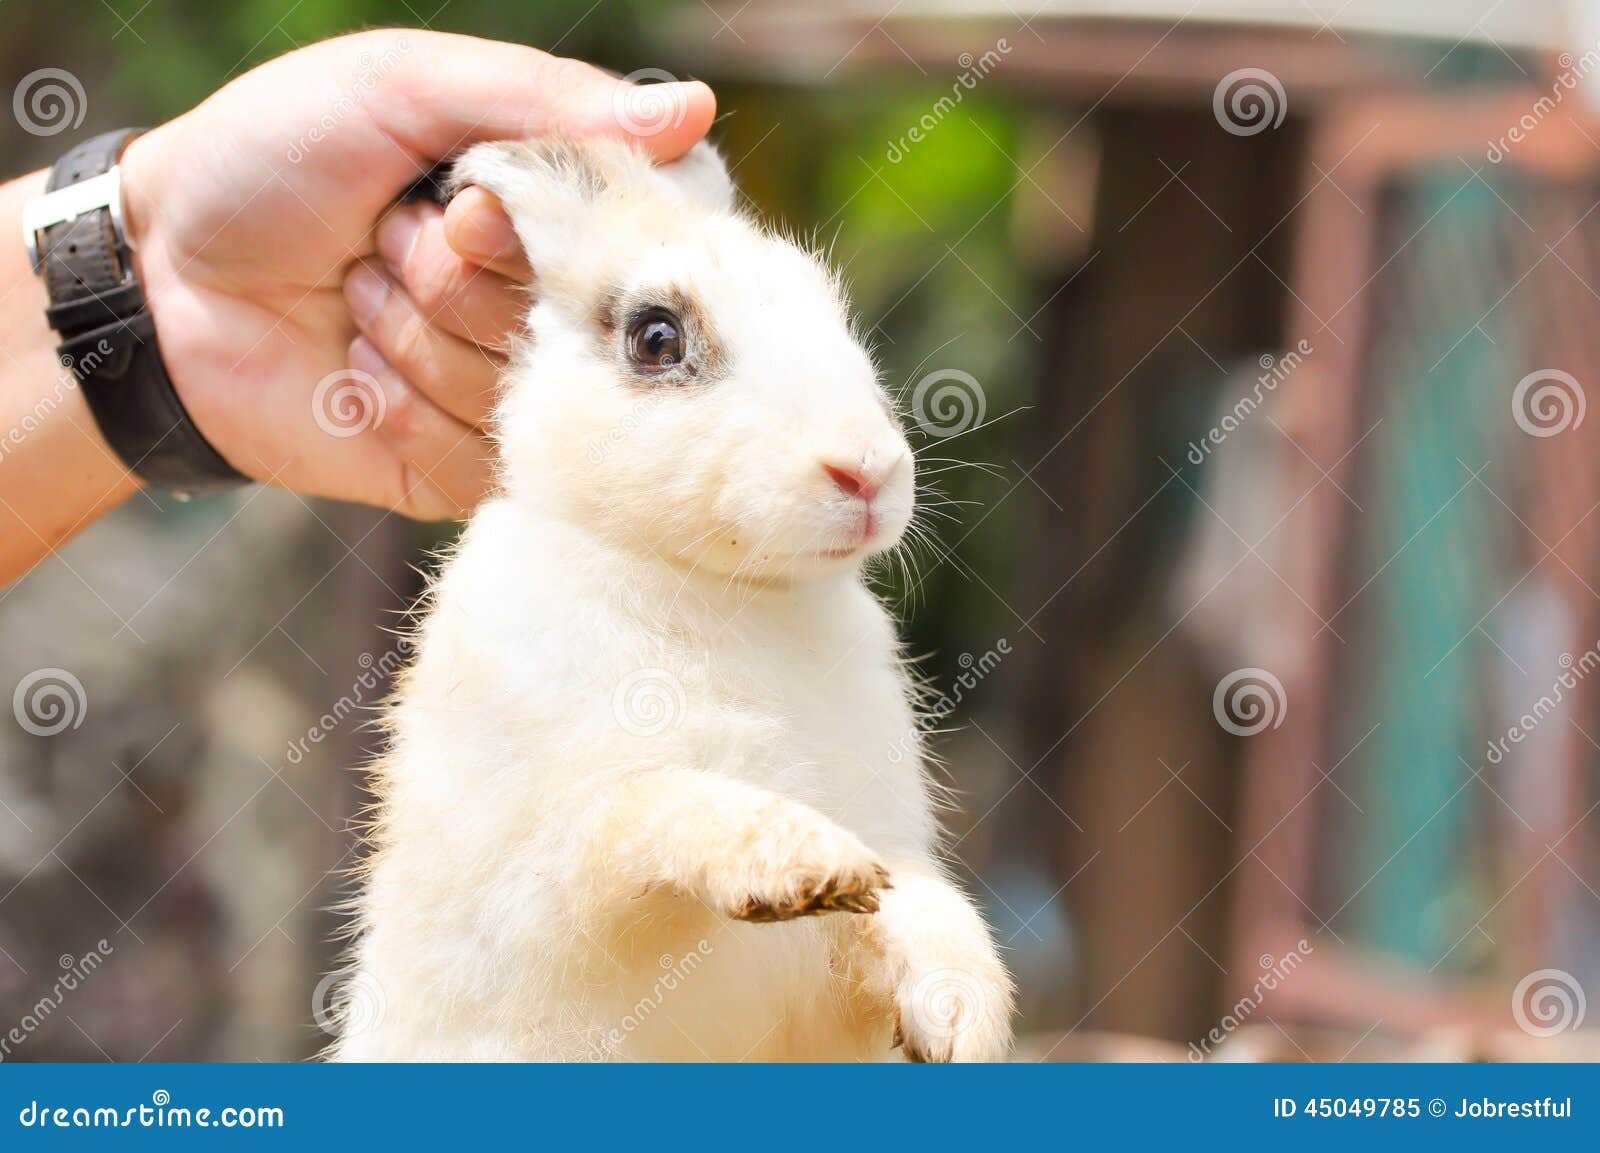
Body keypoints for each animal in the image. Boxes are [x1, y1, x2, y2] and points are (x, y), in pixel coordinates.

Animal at [328, 135, 1014, 1062]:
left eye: (829, 309)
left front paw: (963, 1013)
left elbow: (917, 901)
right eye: (656, 337)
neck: (726, 590)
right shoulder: (549, 867)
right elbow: (653, 807)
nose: (868, 469)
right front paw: (805, 863)